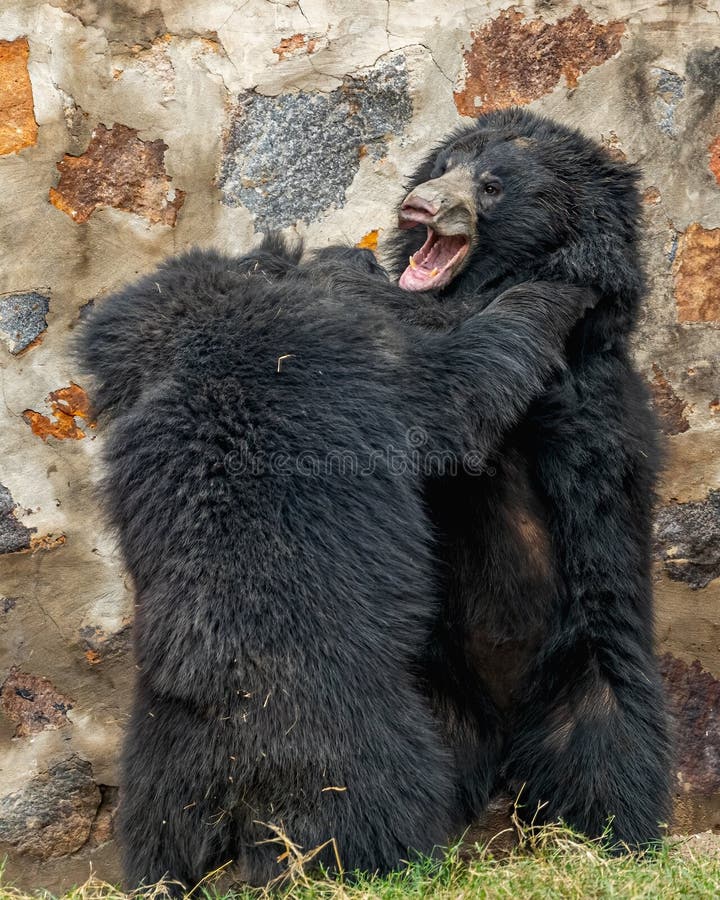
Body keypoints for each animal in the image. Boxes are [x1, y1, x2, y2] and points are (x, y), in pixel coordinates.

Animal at [78, 233, 595, 889]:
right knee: (378, 815)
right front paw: (556, 293)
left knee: (157, 841)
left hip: (157, 775)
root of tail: (229, 779)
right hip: (352, 749)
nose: (367, 254)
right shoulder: (365, 366)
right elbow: (459, 390)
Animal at [383, 107, 672, 847]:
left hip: (593, 660)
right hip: (430, 675)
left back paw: (612, 835)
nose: (417, 204)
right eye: (442, 167)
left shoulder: (587, 396)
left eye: (491, 187)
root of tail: (506, 731)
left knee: (612, 751)